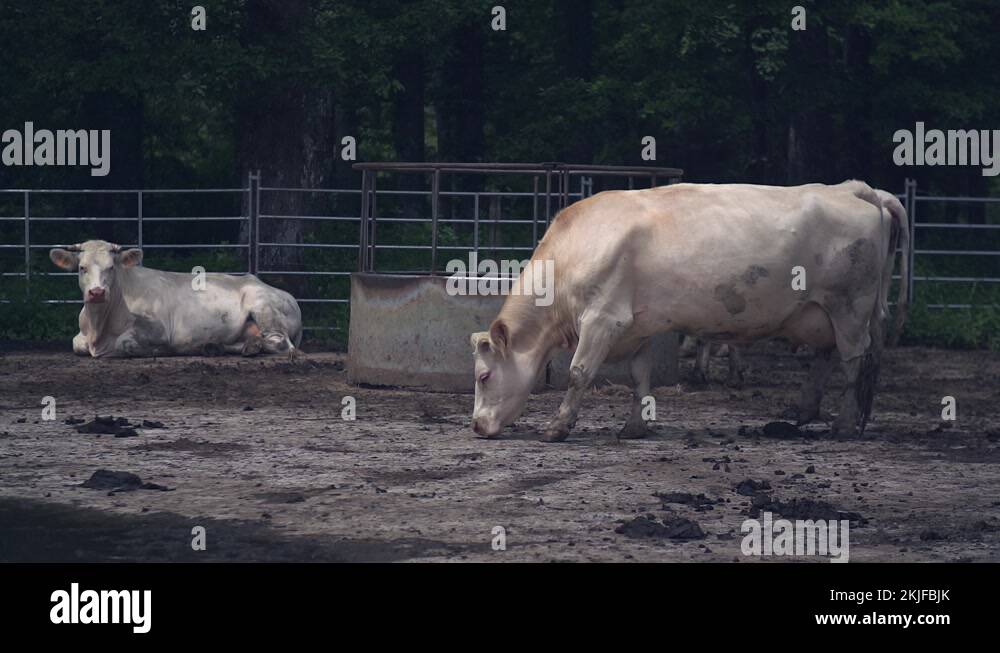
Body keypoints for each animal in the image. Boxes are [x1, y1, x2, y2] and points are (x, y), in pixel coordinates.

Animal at [49, 240, 302, 358]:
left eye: (111, 267)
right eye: (81, 268)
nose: (97, 292)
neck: (98, 327)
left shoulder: (158, 330)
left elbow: (125, 344)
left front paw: (160, 350)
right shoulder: (82, 337)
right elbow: (76, 344)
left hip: (264, 307)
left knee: (282, 343)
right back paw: (217, 346)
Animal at [470, 181, 910, 442]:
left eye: (484, 376)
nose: (474, 424)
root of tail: (854, 188)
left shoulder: (603, 318)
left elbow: (579, 373)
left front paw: (558, 426)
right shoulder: (635, 327)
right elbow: (639, 376)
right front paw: (635, 426)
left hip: (849, 306)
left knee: (852, 361)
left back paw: (844, 425)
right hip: (821, 312)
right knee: (825, 356)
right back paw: (803, 413)